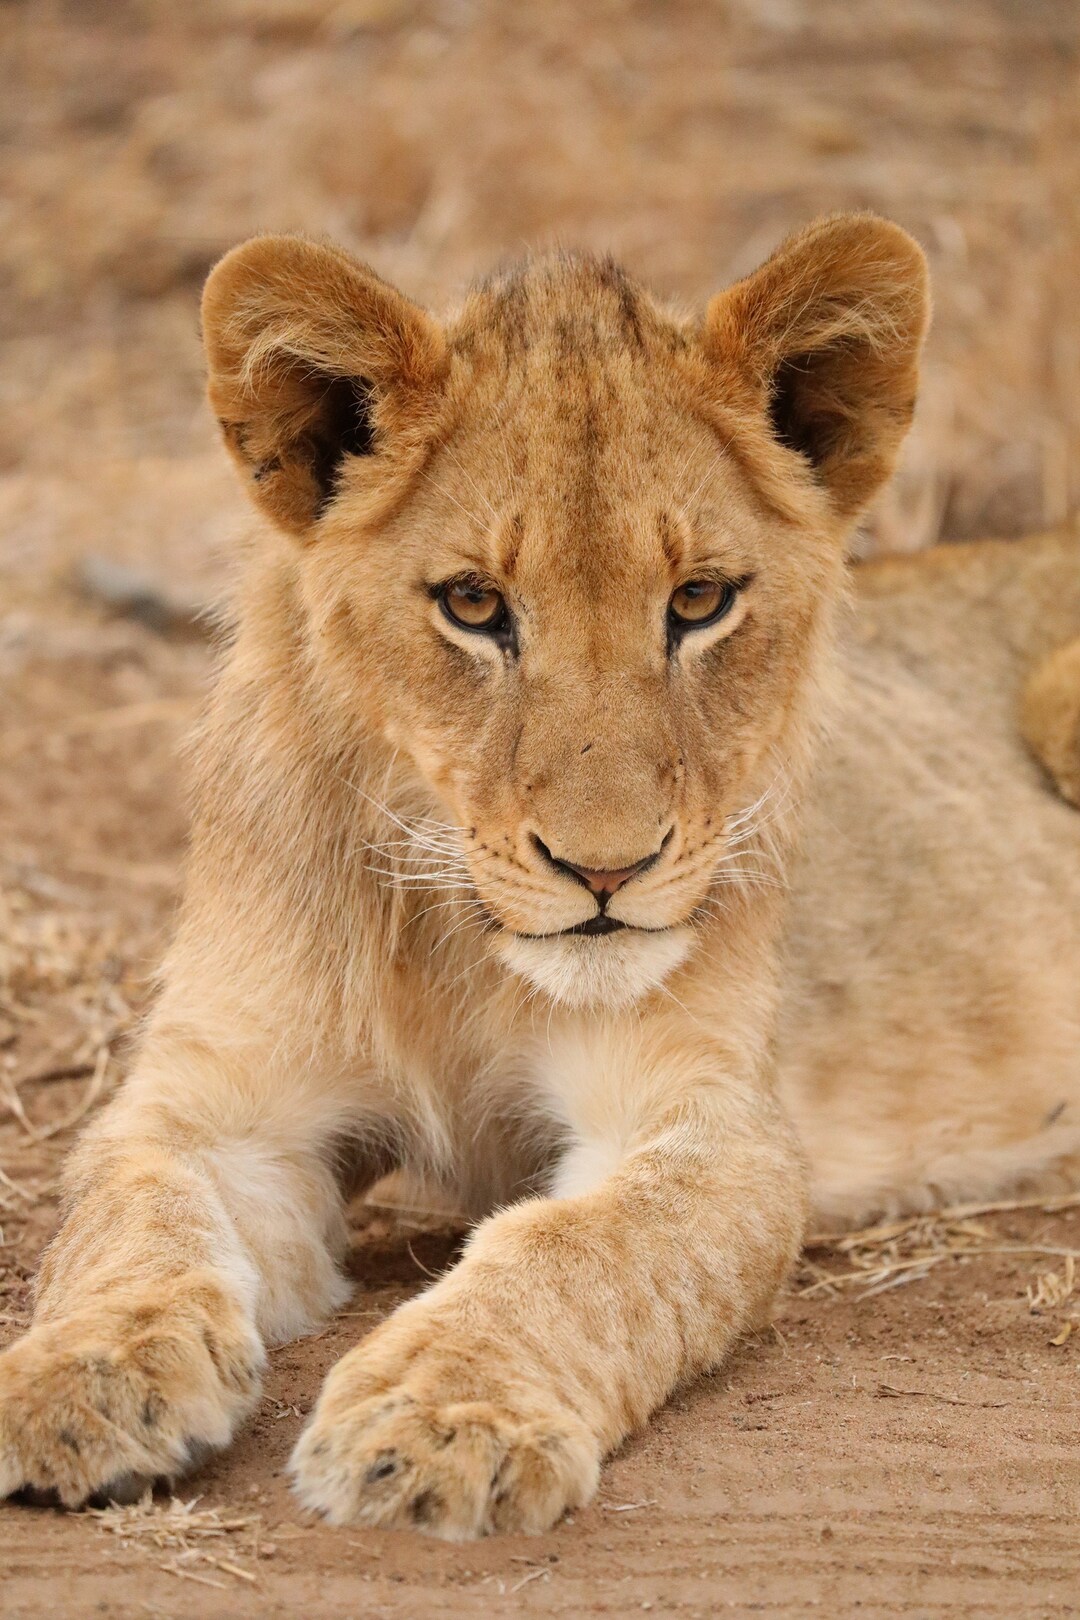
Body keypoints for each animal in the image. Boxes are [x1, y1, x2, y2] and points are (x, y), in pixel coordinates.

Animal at [2, 214, 1079, 1539]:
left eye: (700, 600)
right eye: (474, 604)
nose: (606, 869)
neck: (453, 942)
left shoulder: (707, 1124)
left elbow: (574, 1253)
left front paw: (445, 1419)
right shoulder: (221, 1105)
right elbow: (129, 1214)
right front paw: (82, 1375)